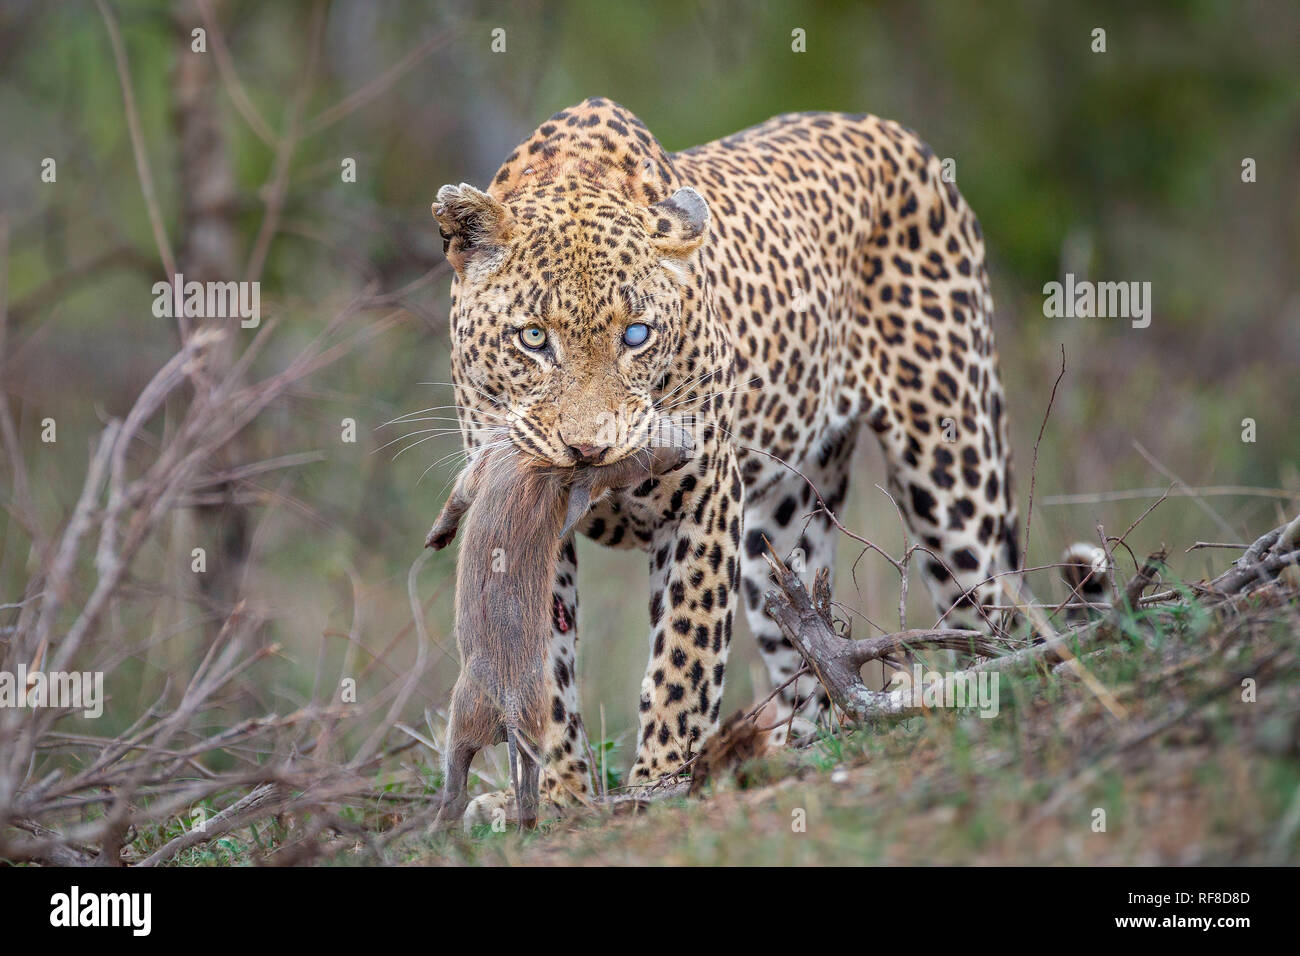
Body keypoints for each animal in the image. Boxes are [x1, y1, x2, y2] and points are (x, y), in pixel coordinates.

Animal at [431, 96, 1026, 821]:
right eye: (534, 339)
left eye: (636, 335)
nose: (588, 448)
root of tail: (894, 131)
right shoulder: (537, 524)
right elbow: (544, 656)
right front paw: (565, 795)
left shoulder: (705, 496)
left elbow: (684, 653)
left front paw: (659, 780)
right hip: (782, 530)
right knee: (810, 659)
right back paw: (799, 745)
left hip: (952, 471)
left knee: (991, 612)